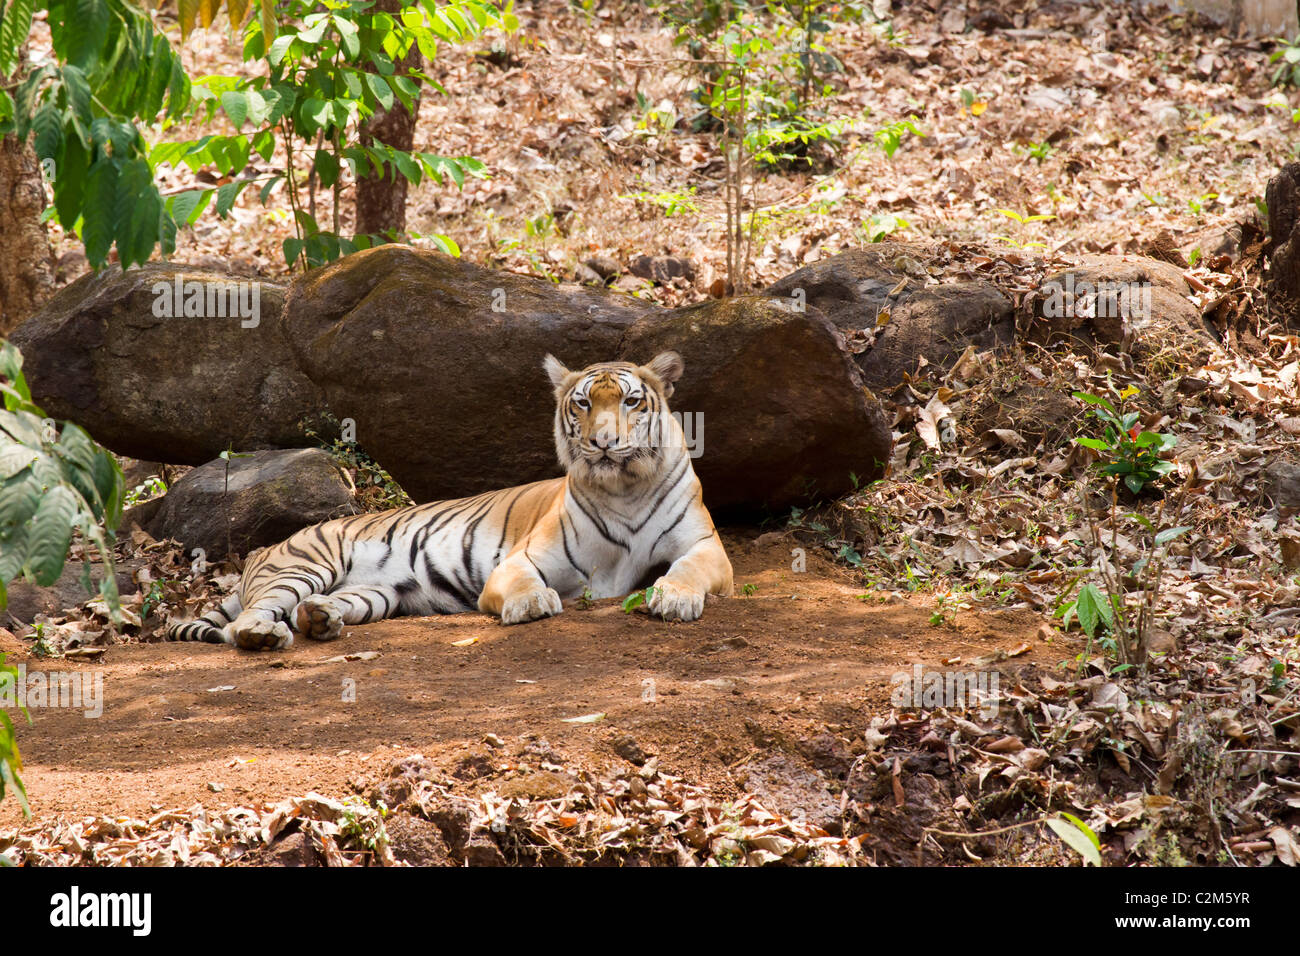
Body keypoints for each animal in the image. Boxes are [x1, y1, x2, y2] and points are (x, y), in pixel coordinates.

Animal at [166, 351, 734, 651]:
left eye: (633, 402)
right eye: (582, 404)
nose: (604, 442)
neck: (625, 488)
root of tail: (262, 551)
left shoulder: (708, 549)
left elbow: (686, 569)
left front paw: (675, 598)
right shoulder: (522, 559)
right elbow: (525, 583)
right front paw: (532, 605)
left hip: (379, 594)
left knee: (317, 609)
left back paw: (320, 619)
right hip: (304, 564)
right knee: (244, 621)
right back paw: (265, 634)